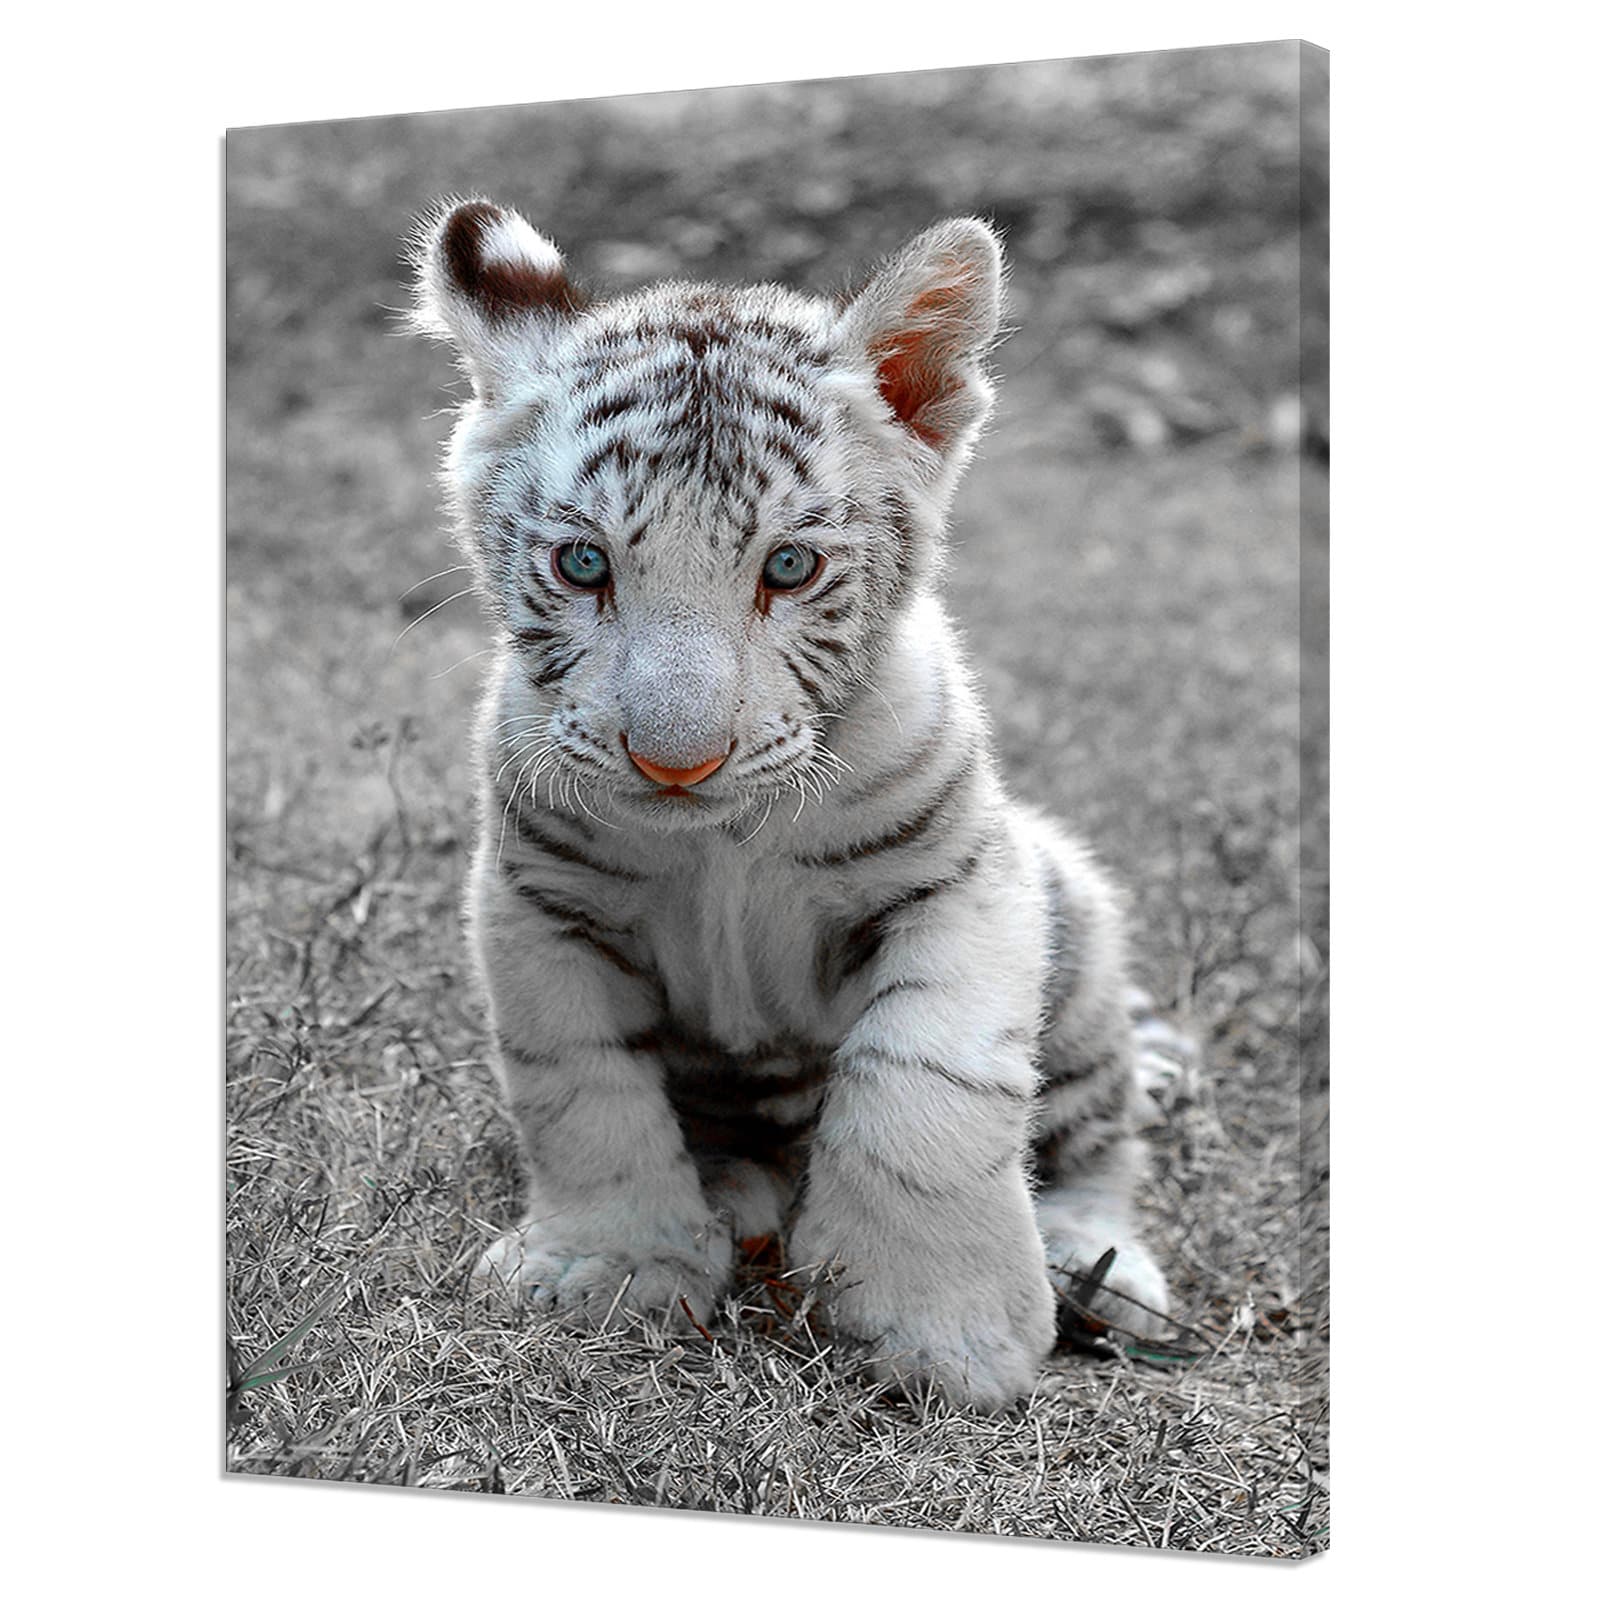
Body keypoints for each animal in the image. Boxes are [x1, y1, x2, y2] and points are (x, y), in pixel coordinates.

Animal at [406, 198, 1188, 1410]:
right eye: (583, 564)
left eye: (788, 567)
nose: (676, 764)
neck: (719, 837)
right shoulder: (536, 901)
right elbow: (579, 1089)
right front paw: (605, 1267)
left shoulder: (963, 881)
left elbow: (929, 1084)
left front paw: (944, 1332)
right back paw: (733, 1205)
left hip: (1085, 942)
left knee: (1101, 1140)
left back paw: (1095, 1270)